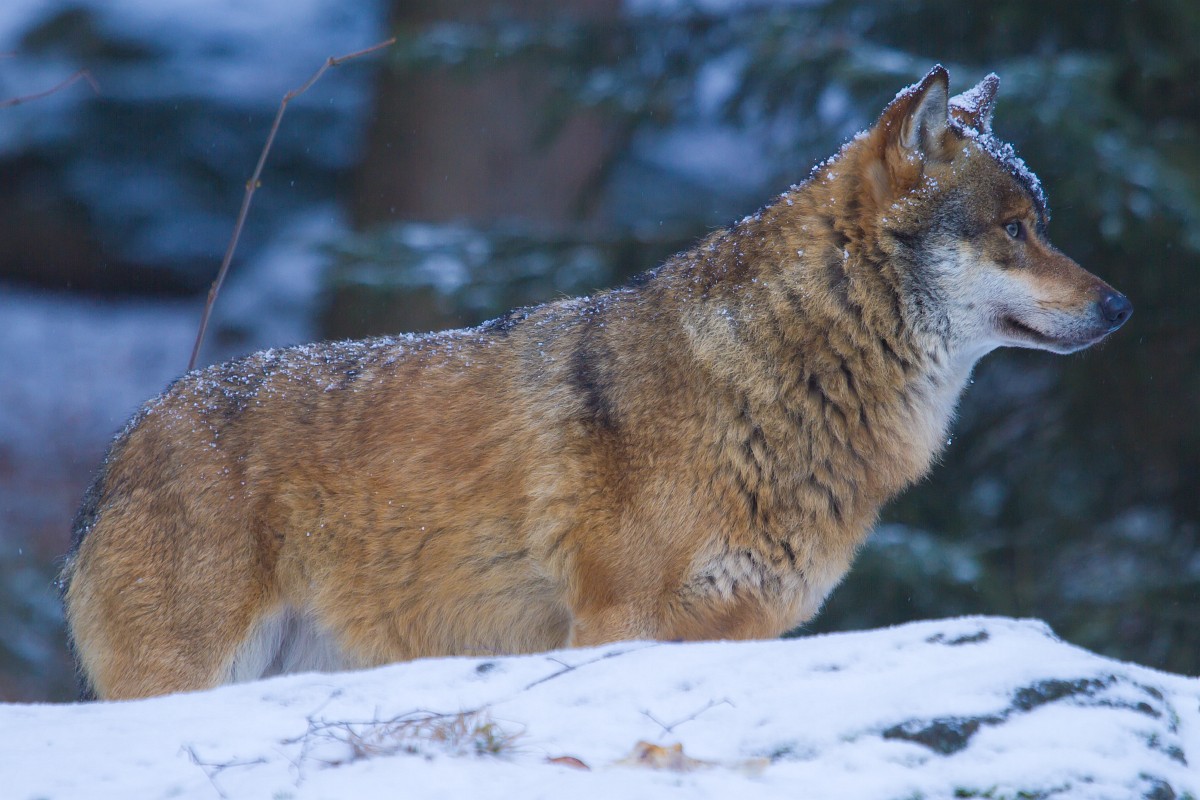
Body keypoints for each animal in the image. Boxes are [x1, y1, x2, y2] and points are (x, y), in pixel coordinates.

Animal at [61, 66, 1131, 699]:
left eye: (1042, 223)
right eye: (1015, 230)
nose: (1121, 305)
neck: (775, 378)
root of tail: (122, 443)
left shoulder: (750, 631)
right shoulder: (620, 622)